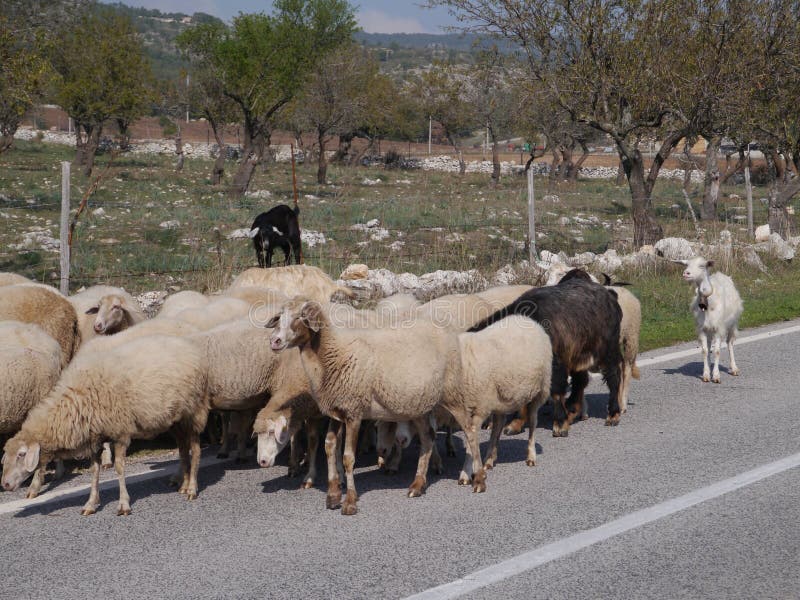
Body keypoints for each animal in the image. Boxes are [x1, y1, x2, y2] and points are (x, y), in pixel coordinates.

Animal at [1, 335, 210, 515]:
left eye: (21, 454)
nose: (5, 485)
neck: (76, 401)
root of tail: (190, 346)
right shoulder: (94, 437)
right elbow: (95, 471)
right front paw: (91, 504)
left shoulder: (120, 432)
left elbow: (119, 468)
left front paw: (123, 504)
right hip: (175, 419)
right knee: (183, 448)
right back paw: (183, 483)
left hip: (193, 411)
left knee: (195, 449)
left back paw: (192, 488)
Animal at [266, 299, 459, 515]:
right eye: (279, 316)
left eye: (301, 316)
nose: (274, 341)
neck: (333, 354)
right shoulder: (337, 410)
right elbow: (329, 446)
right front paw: (333, 495)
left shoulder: (354, 413)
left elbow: (348, 457)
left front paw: (350, 501)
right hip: (419, 404)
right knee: (427, 437)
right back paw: (417, 485)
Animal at [469, 269, 623, 436]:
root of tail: (609, 294)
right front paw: (515, 424)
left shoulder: (556, 365)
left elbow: (556, 391)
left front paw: (560, 424)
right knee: (580, 381)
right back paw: (572, 411)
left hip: (608, 351)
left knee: (613, 378)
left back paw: (613, 414)